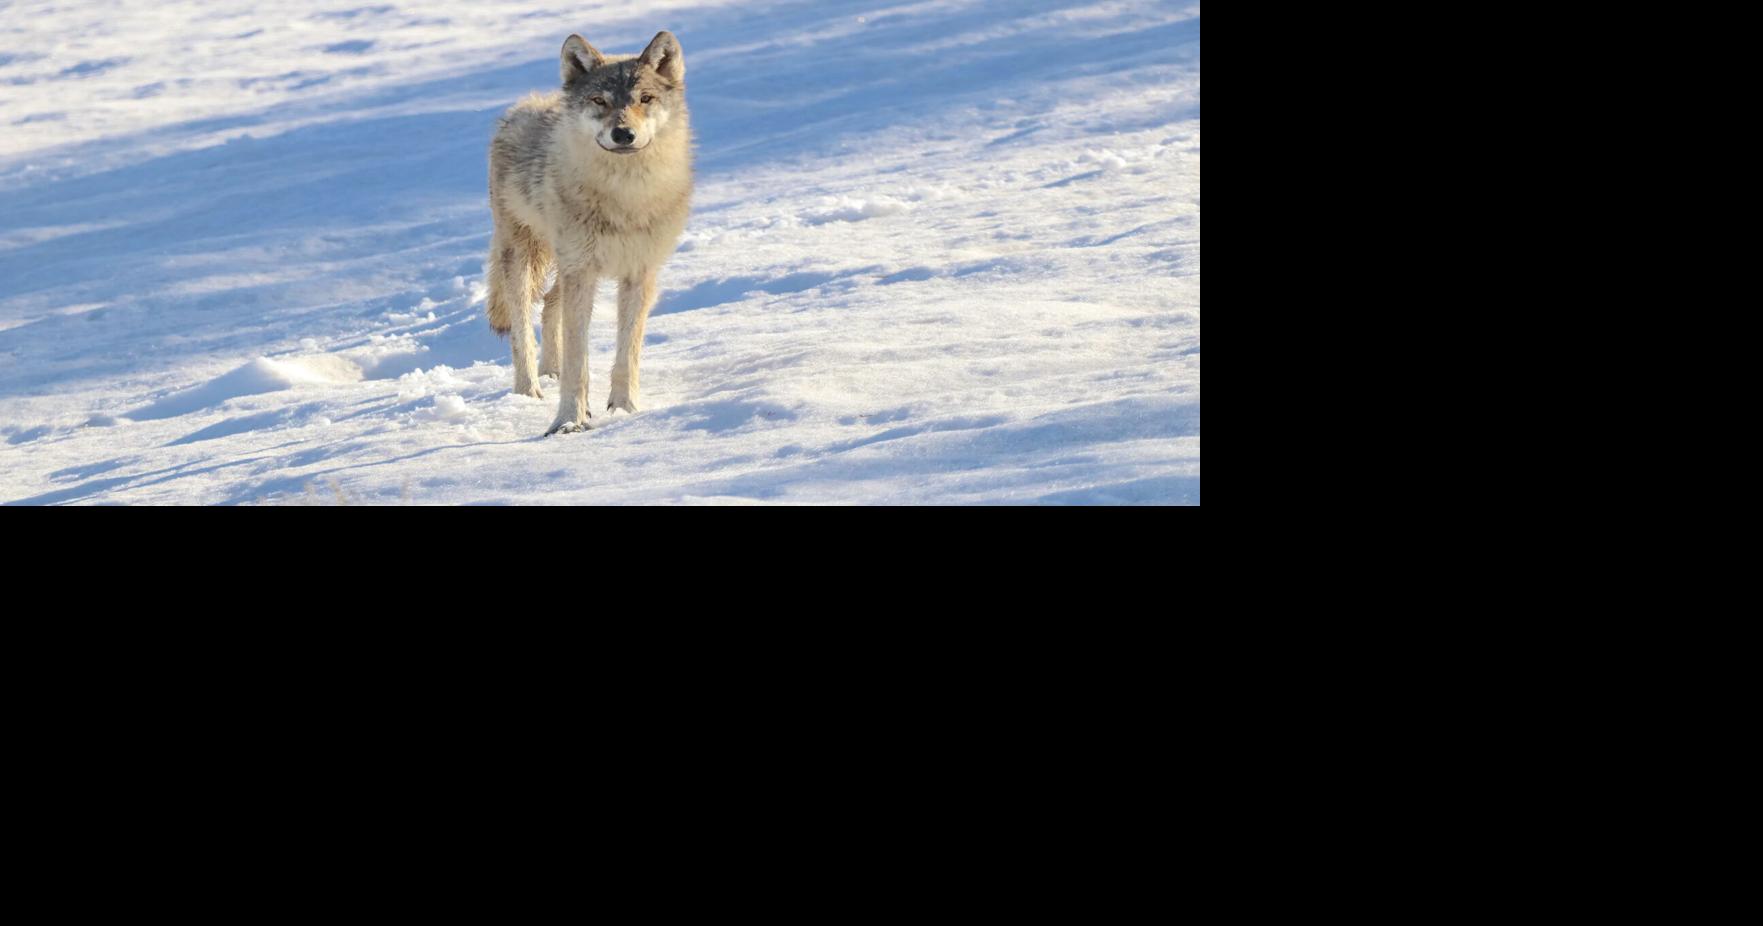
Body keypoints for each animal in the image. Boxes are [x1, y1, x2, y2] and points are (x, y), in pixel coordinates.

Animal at [484, 31, 692, 435]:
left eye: (645, 99)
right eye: (600, 101)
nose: (623, 133)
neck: (624, 198)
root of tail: (524, 105)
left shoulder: (638, 274)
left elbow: (627, 354)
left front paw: (625, 410)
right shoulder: (581, 272)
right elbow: (577, 361)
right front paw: (568, 421)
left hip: (565, 267)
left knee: (551, 304)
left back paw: (549, 371)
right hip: (526, 259)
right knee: (522, 328)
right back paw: (529, 390)